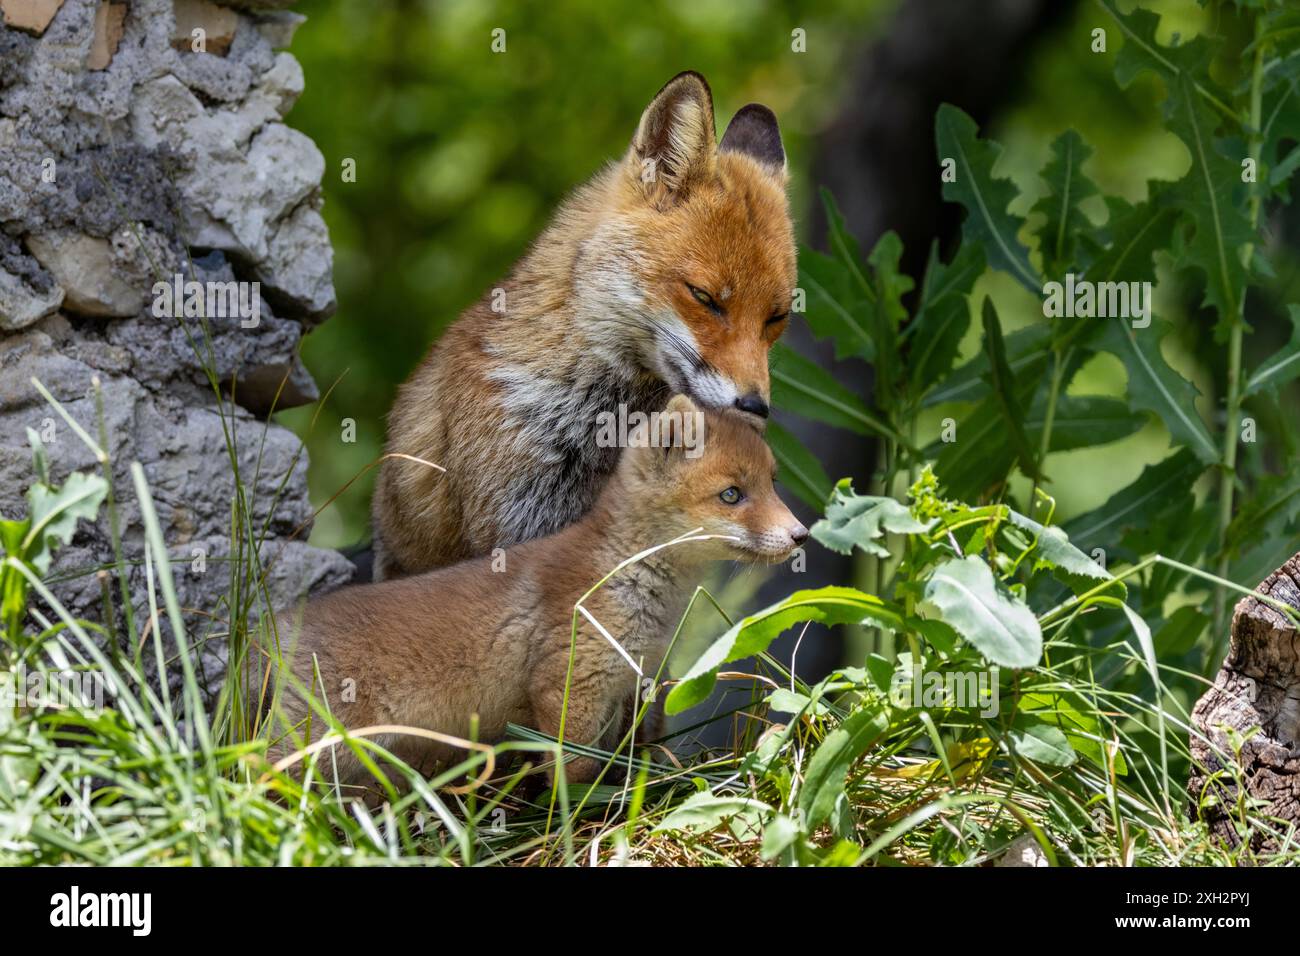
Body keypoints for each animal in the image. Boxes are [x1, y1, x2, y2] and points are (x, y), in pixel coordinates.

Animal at [259, 395, 808, 788]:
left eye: (773, 484)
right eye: (732, 495)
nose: (801, 535)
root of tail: (278, 626)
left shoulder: (624, 688)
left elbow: (618, 755)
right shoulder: (568, 686)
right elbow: (576, 773)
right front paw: (573, 819)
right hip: (313, 747)